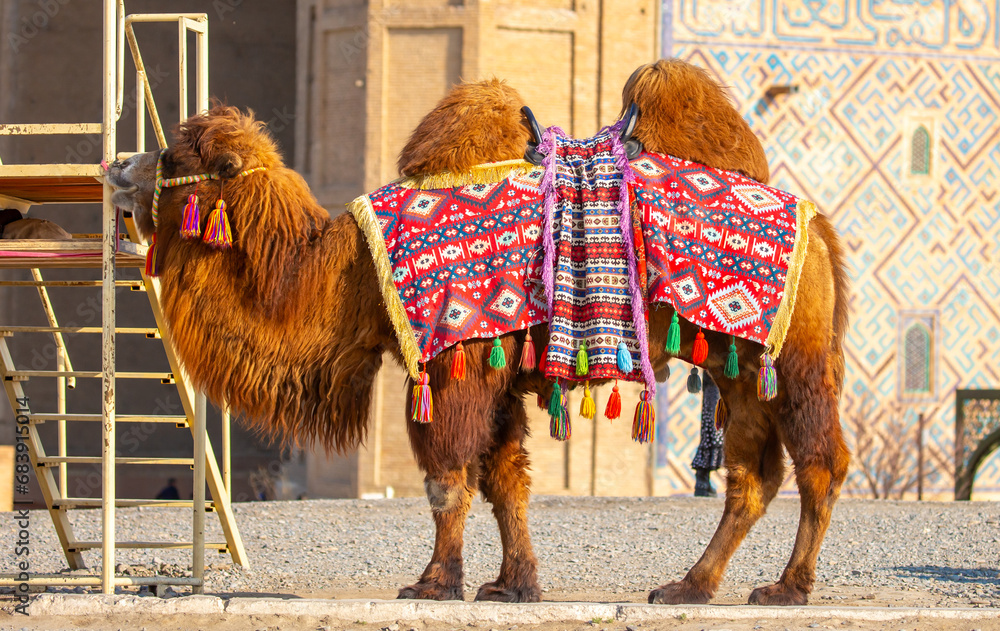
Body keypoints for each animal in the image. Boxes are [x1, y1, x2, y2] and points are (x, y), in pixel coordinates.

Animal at [105, 58, 850, 606]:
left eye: (174, 156)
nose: (115, 164)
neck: (346, 274)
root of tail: (820, 227)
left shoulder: (453, 357)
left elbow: (448, 477)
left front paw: (433, 583)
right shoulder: (493, 374)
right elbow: (503, 478)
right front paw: (511, 585)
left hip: (795, 356)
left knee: (820, 462)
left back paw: (787, 588)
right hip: (739, 366)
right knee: (752, 476)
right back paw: (687, 587)